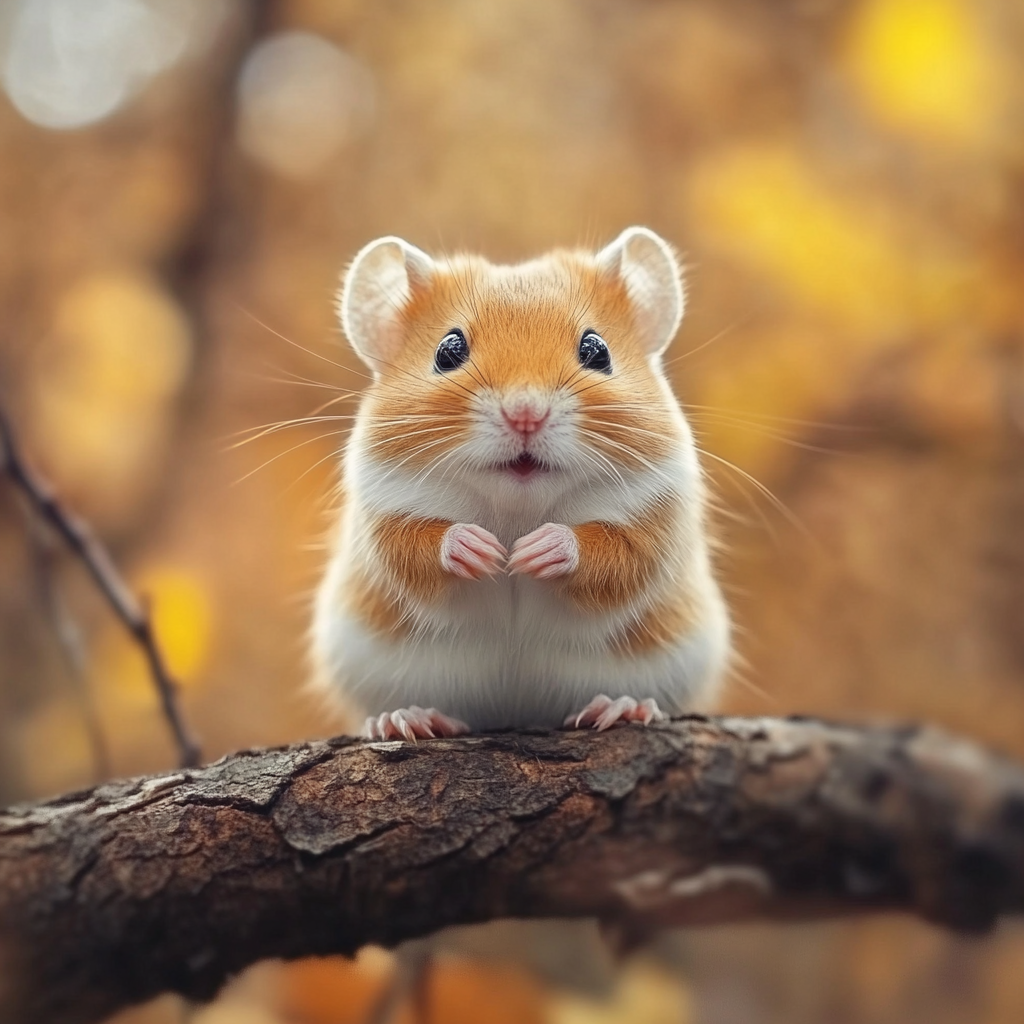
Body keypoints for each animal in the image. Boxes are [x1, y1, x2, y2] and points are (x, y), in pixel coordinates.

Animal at [312, 227, 730, 741]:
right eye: (448, 351)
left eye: (597, 351)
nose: (525, 413)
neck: (518, 504)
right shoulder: (387, 510)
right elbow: (419, 547)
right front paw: (486, 552)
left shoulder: (651, 518)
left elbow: (611, 554)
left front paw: (531, 553)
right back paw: (407, 719)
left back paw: (621, 707)